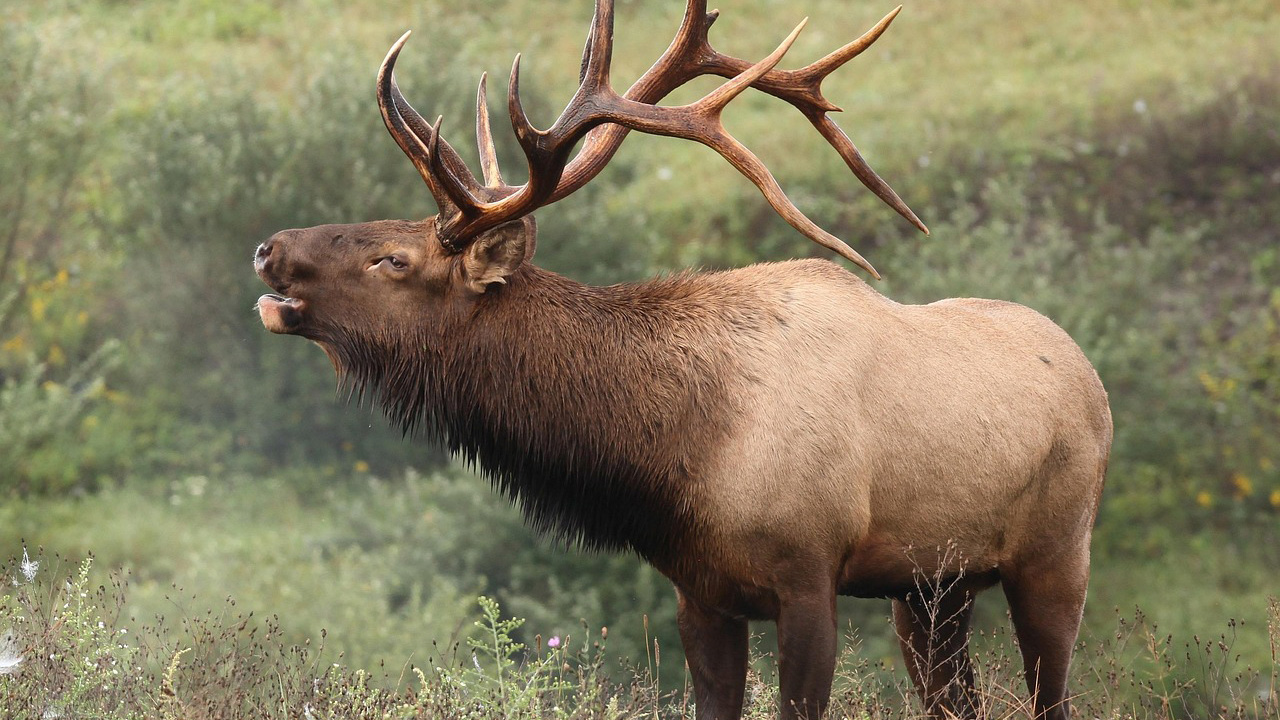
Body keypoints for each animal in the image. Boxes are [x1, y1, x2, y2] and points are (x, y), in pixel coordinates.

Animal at [252, 2, 1112, 718]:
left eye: (393, 259)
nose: (268, 248)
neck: (683, 451)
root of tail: (1092, 377)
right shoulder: (699, 592)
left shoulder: (809, 572)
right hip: (934, 587)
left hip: (1054, 554)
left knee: (1054, 694)